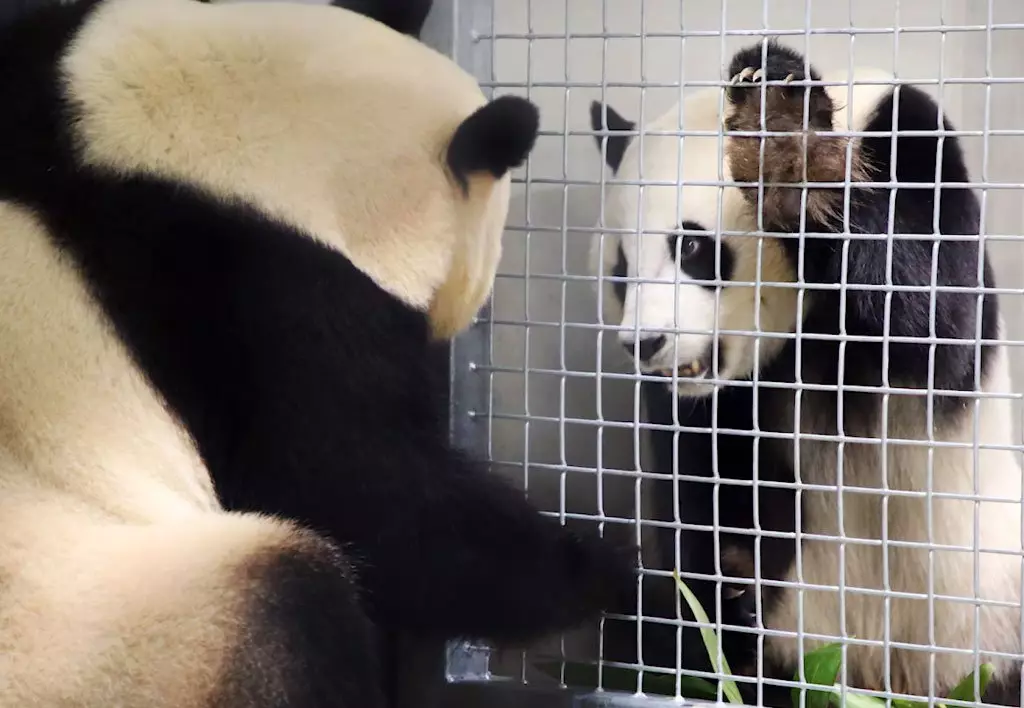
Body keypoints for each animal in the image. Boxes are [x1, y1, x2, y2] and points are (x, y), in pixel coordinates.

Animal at [0, 0, 638, 704]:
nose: (467, 312)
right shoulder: (262, 298)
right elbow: (360, 493)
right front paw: (603, 567)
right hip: (112, 624)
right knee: (292, 603)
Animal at [593, 41, 1024, 704]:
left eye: (691, 248)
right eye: (620, 270)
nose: (645, 343)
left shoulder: (908, 143)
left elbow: (936, 316)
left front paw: (779, 134)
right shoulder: (712, 406)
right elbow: (704, 489)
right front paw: (734, 591)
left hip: (987, 608)